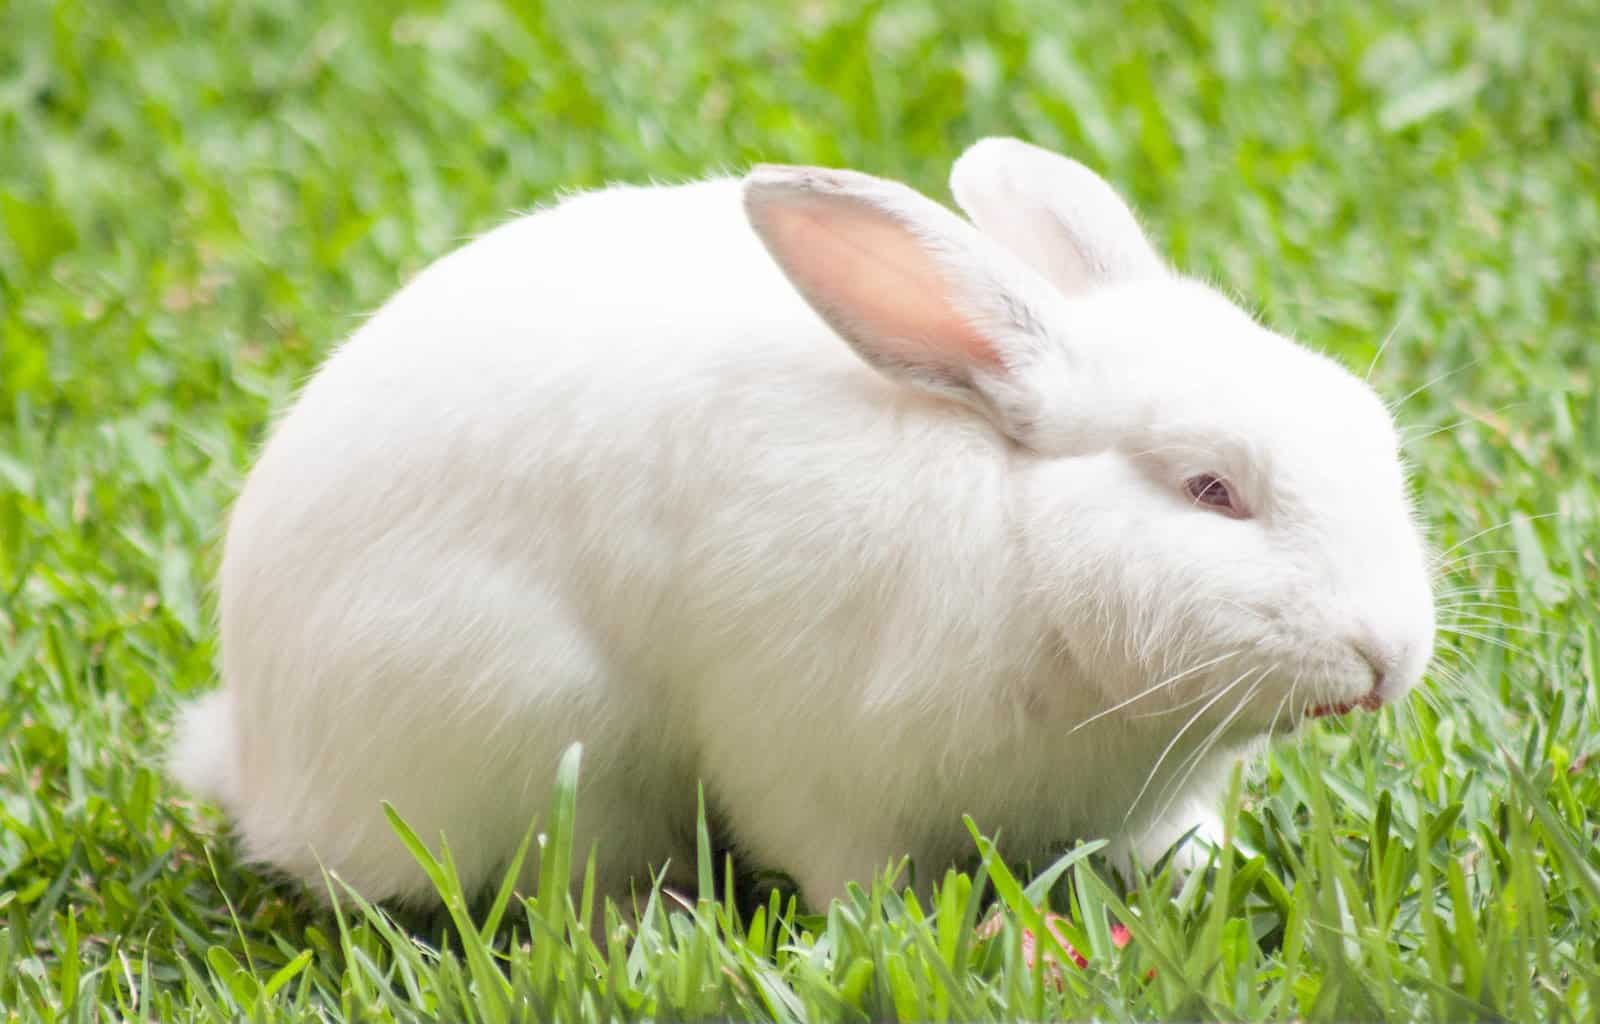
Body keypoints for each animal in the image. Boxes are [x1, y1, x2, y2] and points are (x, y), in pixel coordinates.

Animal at [169, 137, 1436, 912]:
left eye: (1368, 428)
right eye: (1210, 489)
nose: (1385, 655)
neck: (1022, 539)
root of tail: (262, 764)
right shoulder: (819, 765)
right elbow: (850, 873)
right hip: (539, 733)